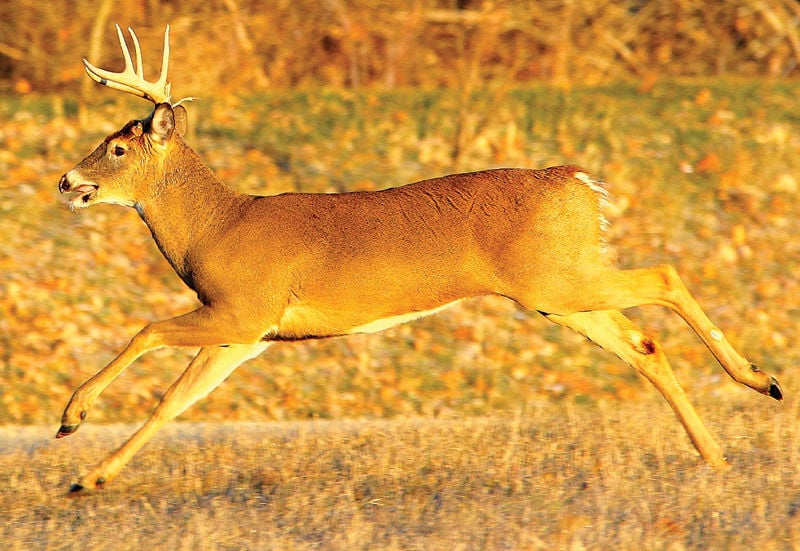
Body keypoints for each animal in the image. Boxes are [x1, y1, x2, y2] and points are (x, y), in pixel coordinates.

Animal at [57, 25, 781, 493]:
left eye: (116, 147)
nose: (67, 181)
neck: (216, 227)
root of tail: (579, 183)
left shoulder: (241, 307)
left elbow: (147, 332)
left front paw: (71, 419)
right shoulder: (251, 334)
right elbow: (174, 402)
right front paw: (89, 477)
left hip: (557, 278)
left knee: (664, 275)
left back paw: (761, 381)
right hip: (557, 290)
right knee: (644, 343)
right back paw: (717, 453)